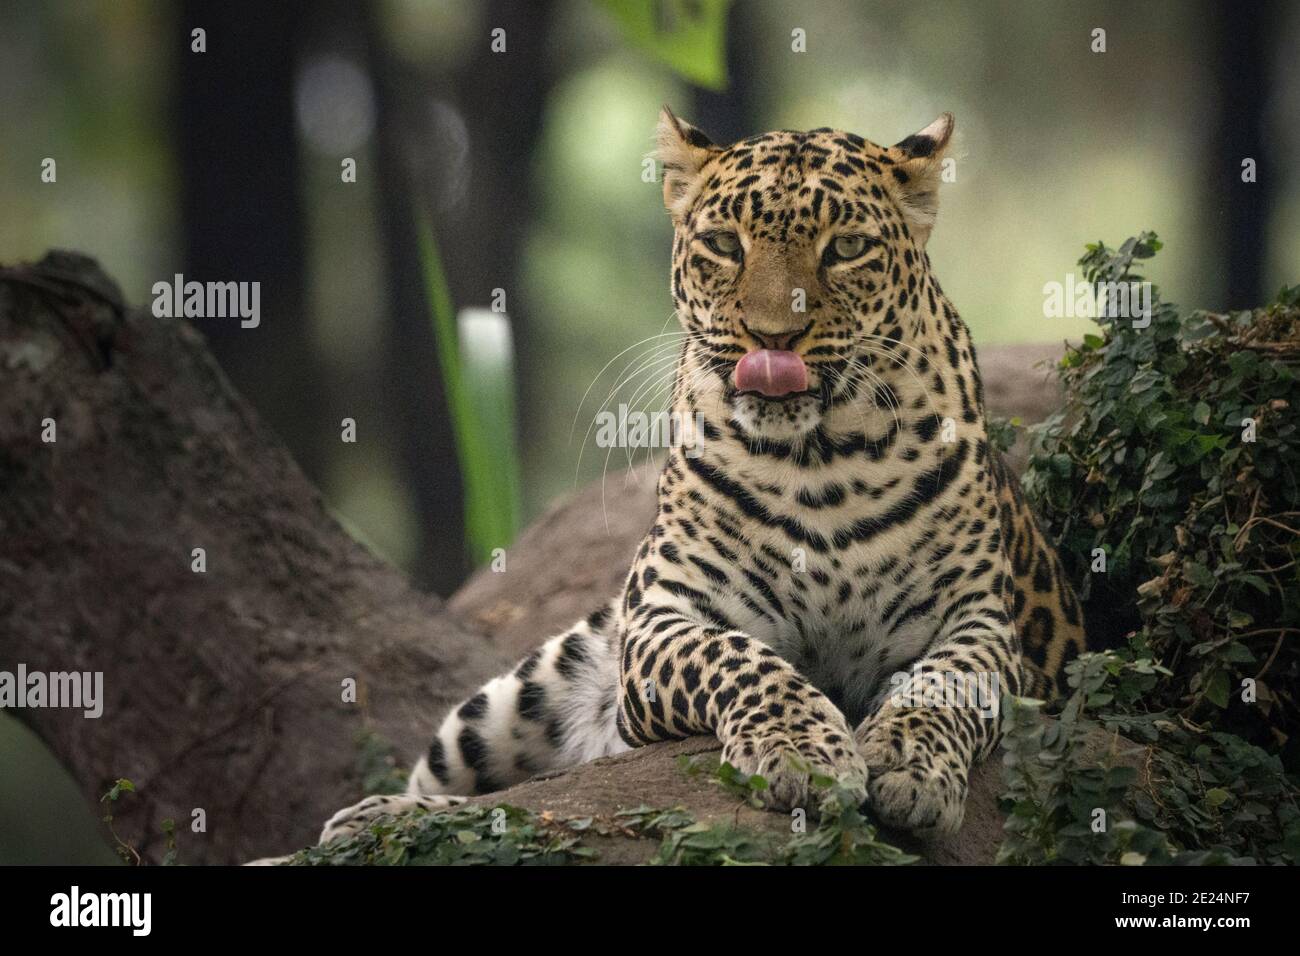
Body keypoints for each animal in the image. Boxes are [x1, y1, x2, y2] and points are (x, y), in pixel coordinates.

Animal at [320, 108, 1090, 844]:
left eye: (845, 249)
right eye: (724, 244)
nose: (773, 338)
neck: (821, 462)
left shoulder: (980, 622)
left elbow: (942, 688)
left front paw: (909, 767)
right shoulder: (665, 615)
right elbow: (739, 658)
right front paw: (803, 754)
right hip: (516, 695)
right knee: (466, 789)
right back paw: (369, 819)